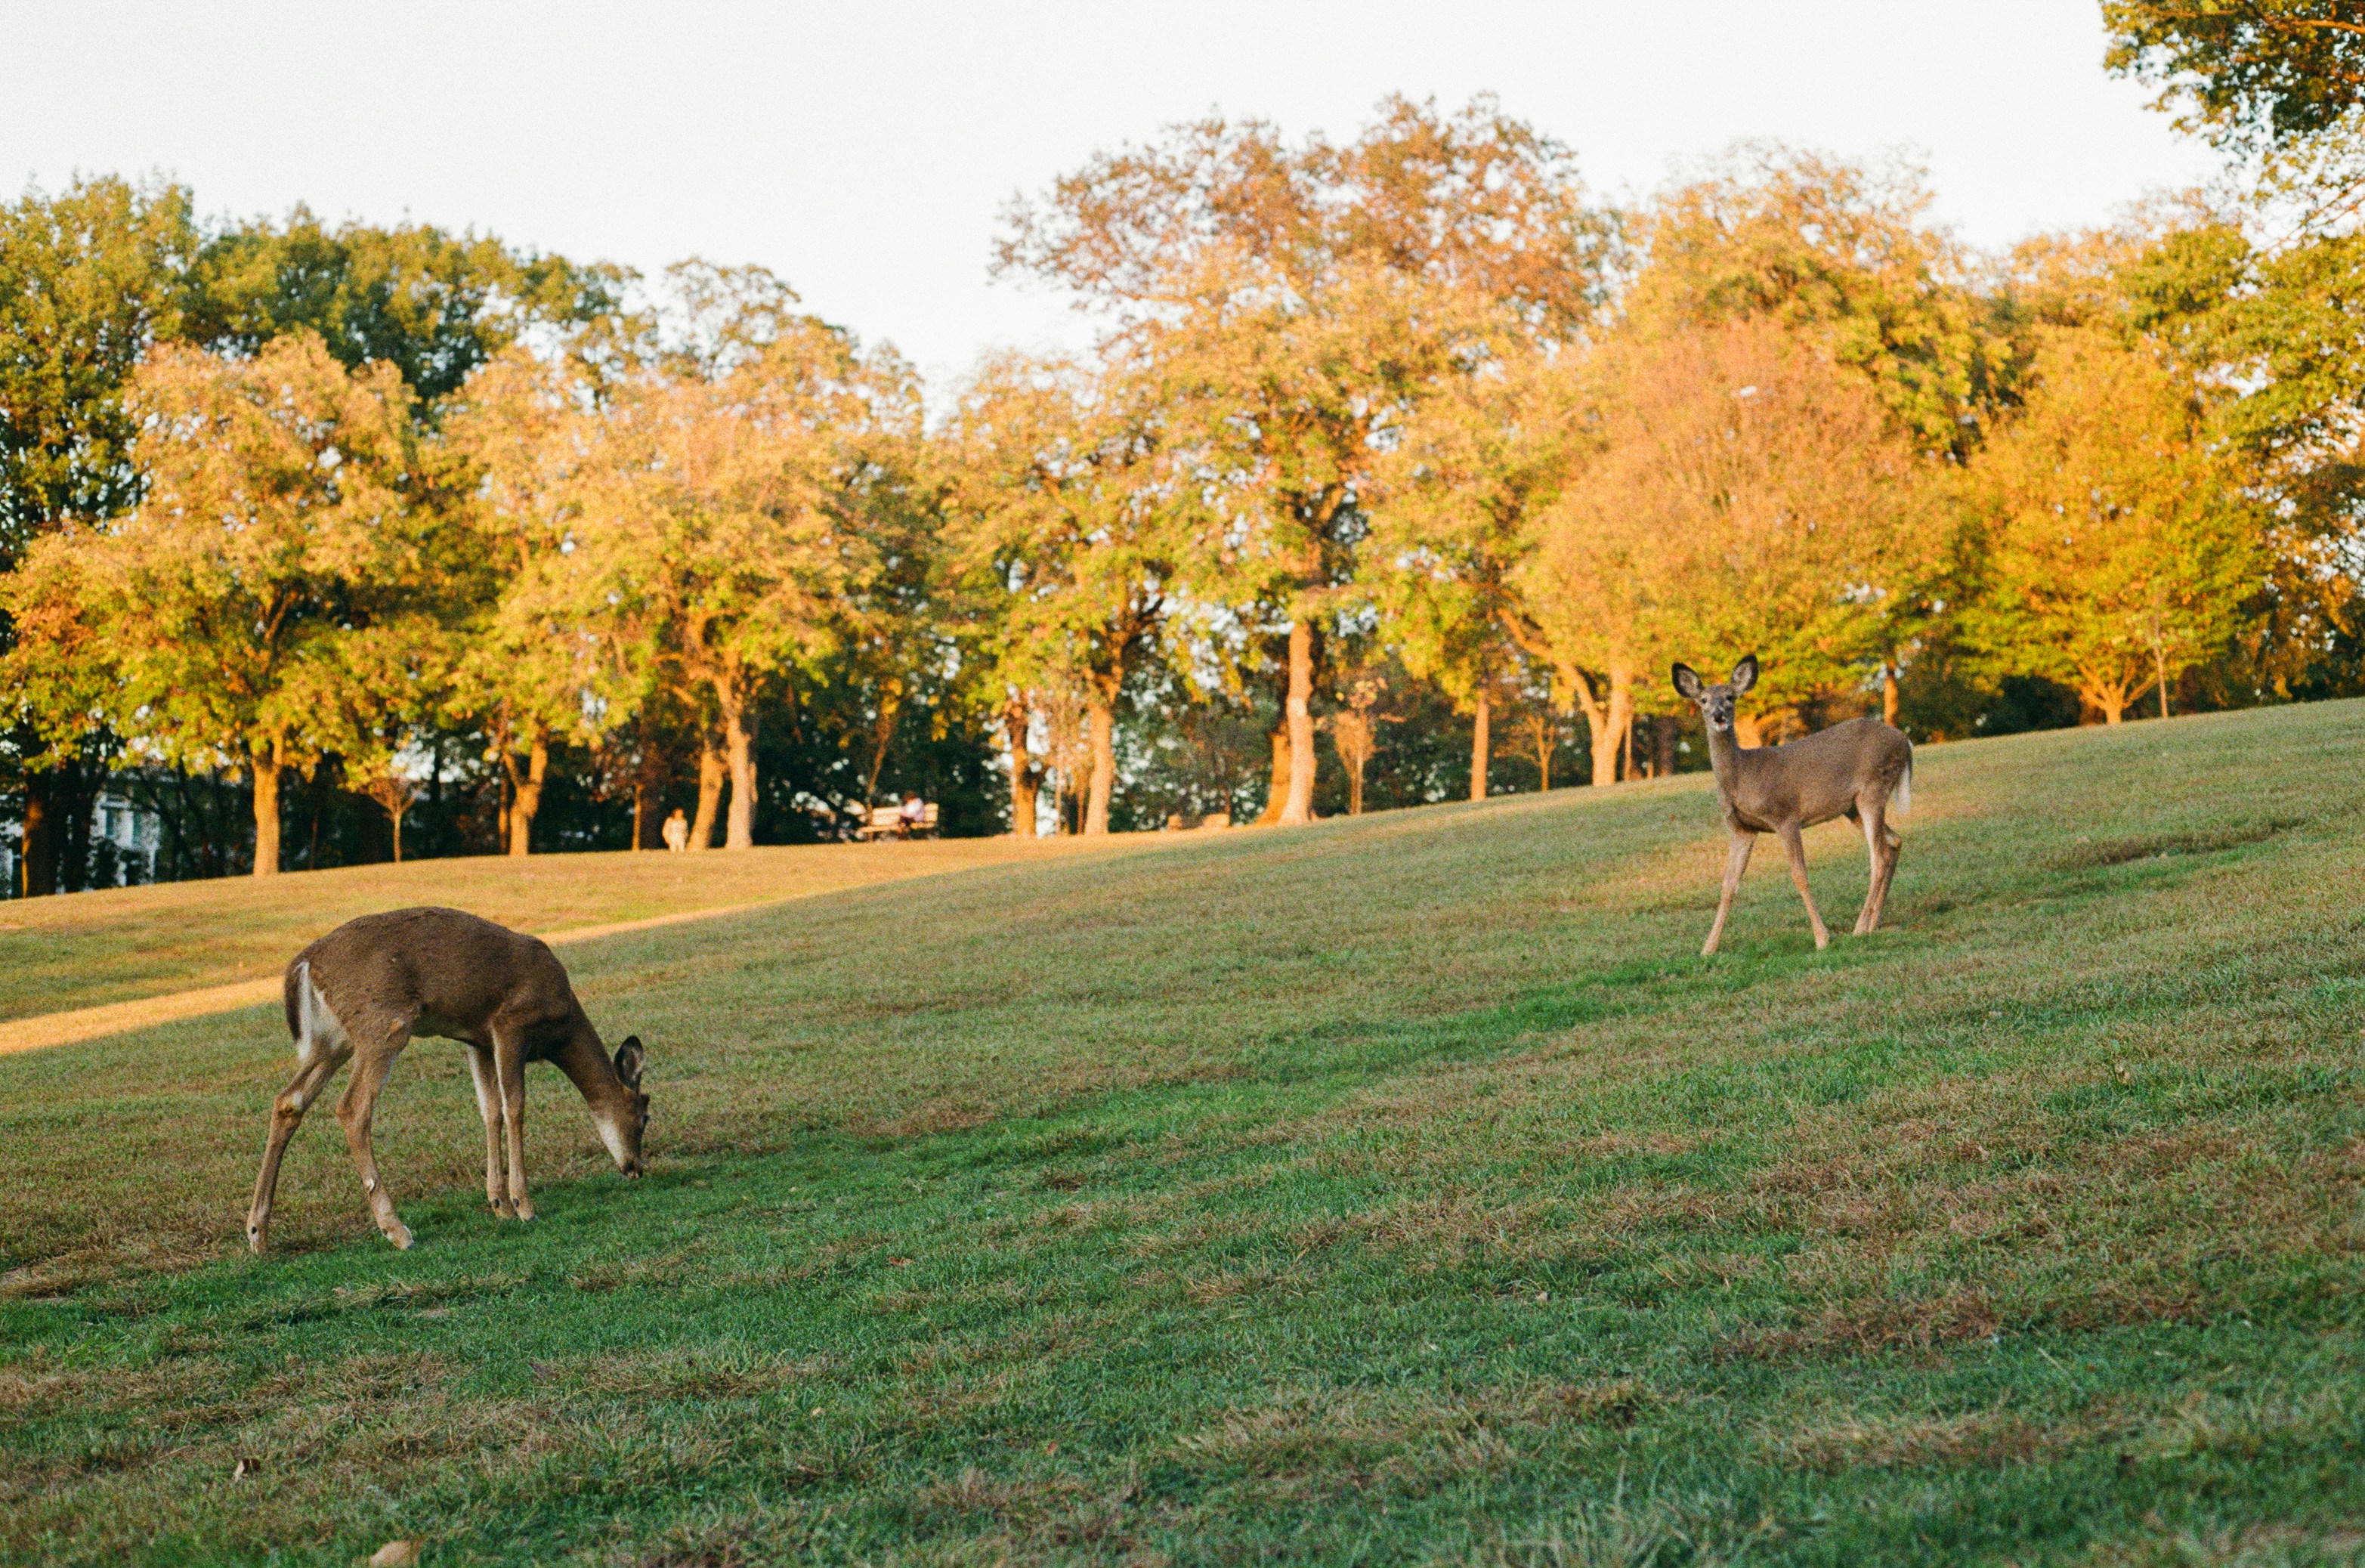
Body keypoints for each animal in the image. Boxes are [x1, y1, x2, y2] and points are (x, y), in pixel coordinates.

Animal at [245, 906, 650, 1253]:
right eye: (645, 1117)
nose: (637, 1169)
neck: (561, 1028)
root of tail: (304, 964)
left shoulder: (478, 1040)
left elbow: (490, 1111)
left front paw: (499, 1204)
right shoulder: (511, 1023)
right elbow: (515, 1106)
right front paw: (524, 1205)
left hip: (333, 1040)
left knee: (289, 1100)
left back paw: (257, 1235)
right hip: (384, 1023)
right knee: (351, 1108)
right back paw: (397, 1231)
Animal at [1670, 655, 1914, 957]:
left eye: (1730, 697)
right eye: (1703, 699)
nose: (1718, 716)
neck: (1742, 776)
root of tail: (1905, 741)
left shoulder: (1784, 816)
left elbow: (1799, 875)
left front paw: (1822, 939)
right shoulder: (1741, 829)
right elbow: (1728, 885)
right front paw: (1708, 948)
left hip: (1873, 788)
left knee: (1878, 855)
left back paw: (1859, 928)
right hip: (1852, 807)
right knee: (1894, 841)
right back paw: (1872, 923)